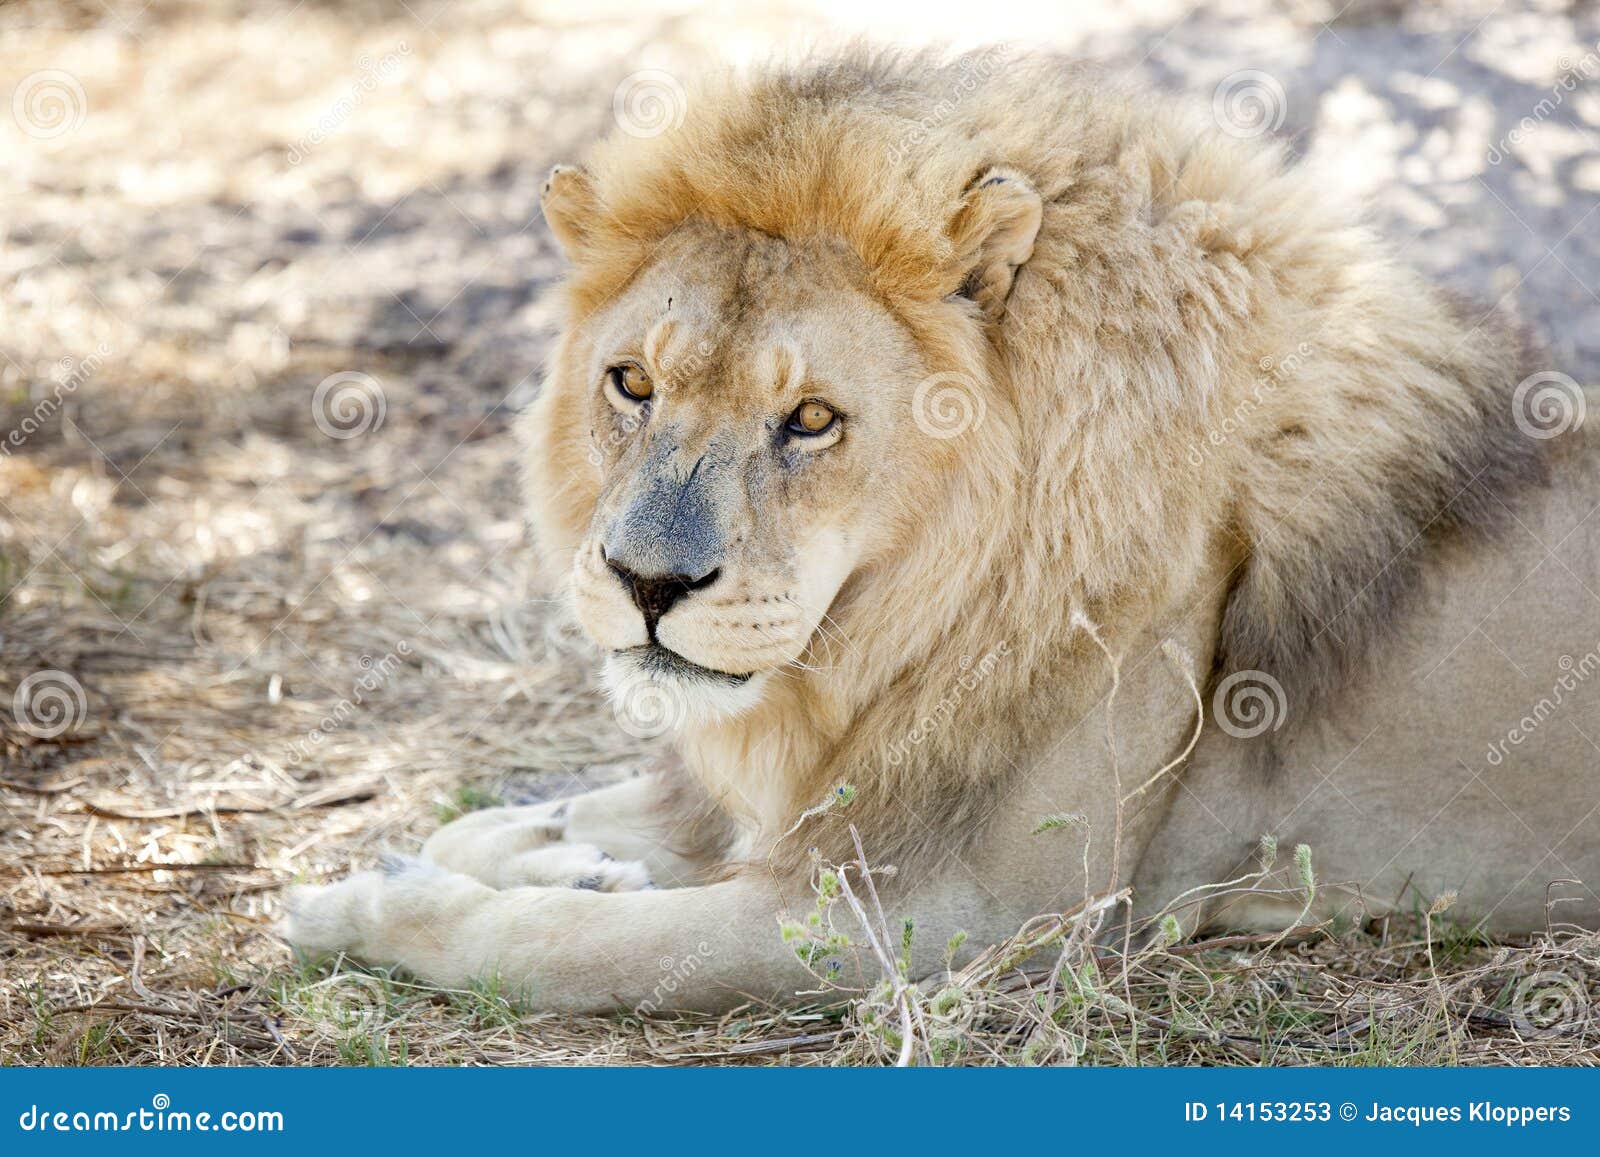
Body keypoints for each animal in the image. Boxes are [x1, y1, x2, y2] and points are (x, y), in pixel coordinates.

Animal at [287, 51, 1600, 1013]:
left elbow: (573, 942)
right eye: (632, 384)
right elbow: (526, 817)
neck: (891, 627)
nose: (645, 582)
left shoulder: (966, 915)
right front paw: (531, 849)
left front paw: (359, 908)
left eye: (811, 418)